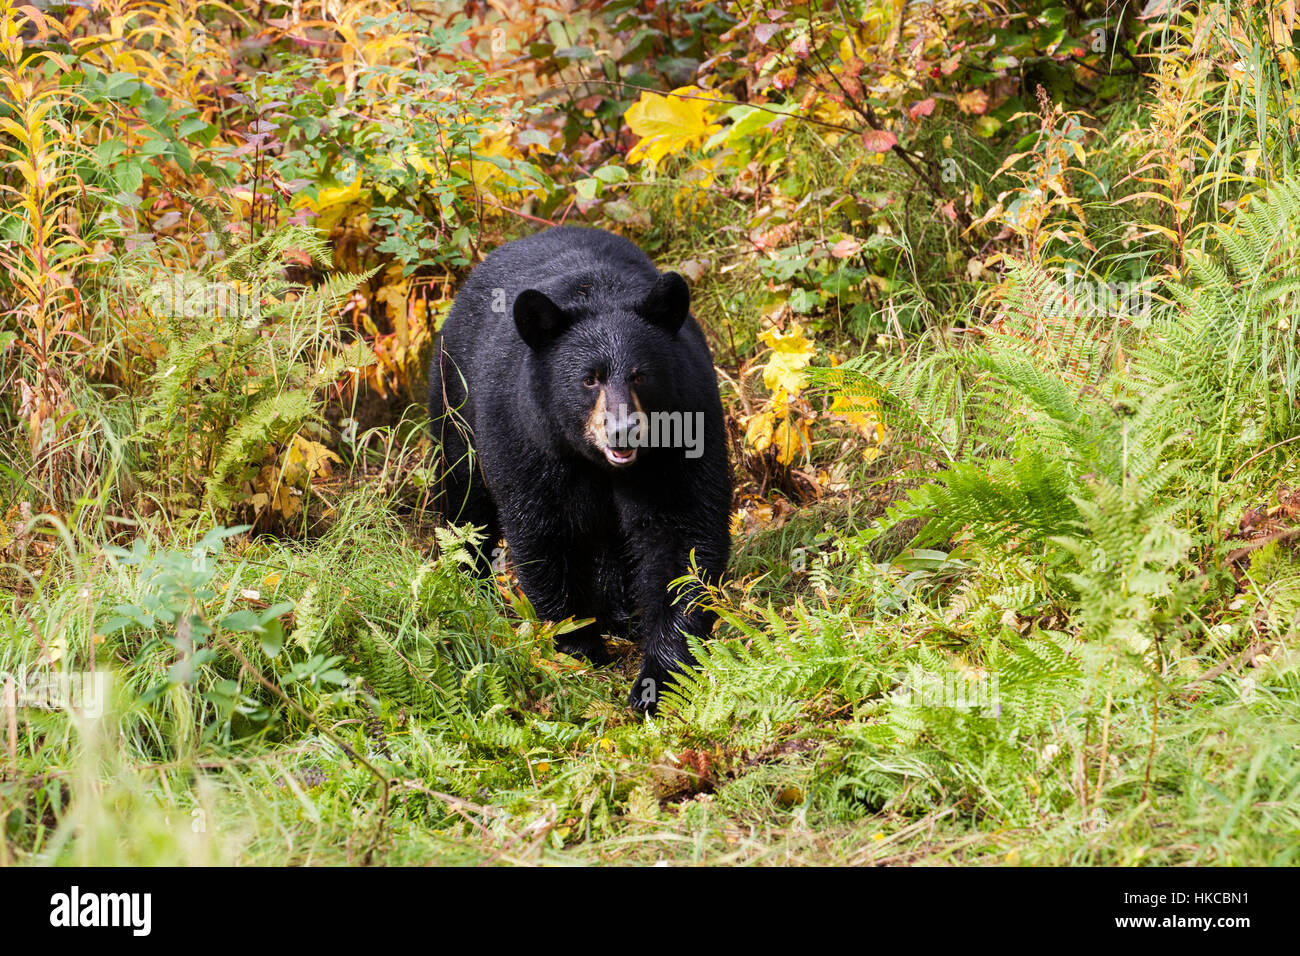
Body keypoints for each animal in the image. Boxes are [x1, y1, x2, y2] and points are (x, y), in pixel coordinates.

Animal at [427, 226, 732, 713]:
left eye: (640, 374)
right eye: (589, 378)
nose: (623, 430)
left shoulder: (684, 431)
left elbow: (682, 538)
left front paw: (657, 677)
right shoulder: (528, 441)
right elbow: (545, 536)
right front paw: (579, 649)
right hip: (455, 403)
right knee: (466, 503)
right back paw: (471, 585)